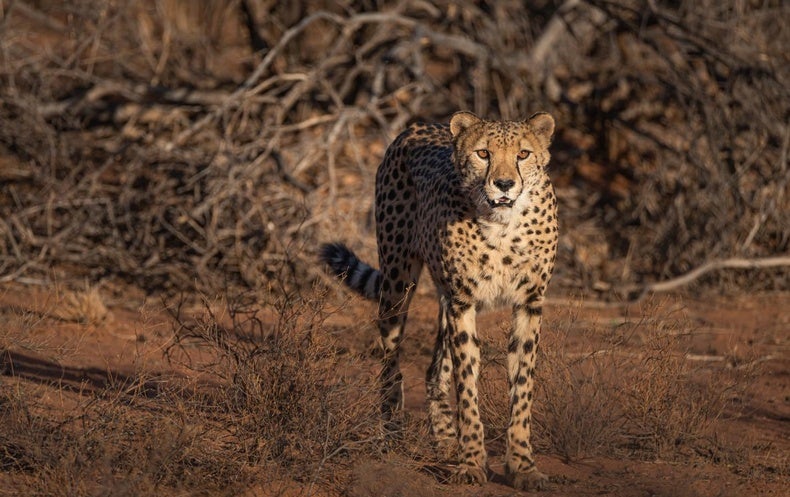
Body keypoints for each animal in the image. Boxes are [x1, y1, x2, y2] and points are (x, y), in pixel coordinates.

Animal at [320, 111, 558, 490]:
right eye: (483, 154)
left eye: (523, 154)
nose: (504, 184)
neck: (503, 226)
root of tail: (419, 126)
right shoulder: (464, 302)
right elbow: (467, 386)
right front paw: (472, 461)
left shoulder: (528, 303)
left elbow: (522, 389)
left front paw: (522, 465)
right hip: (398, 282)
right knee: (391, 364)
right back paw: (393, 432)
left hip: (444, 298)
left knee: (434, 368)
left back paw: (445, 439)